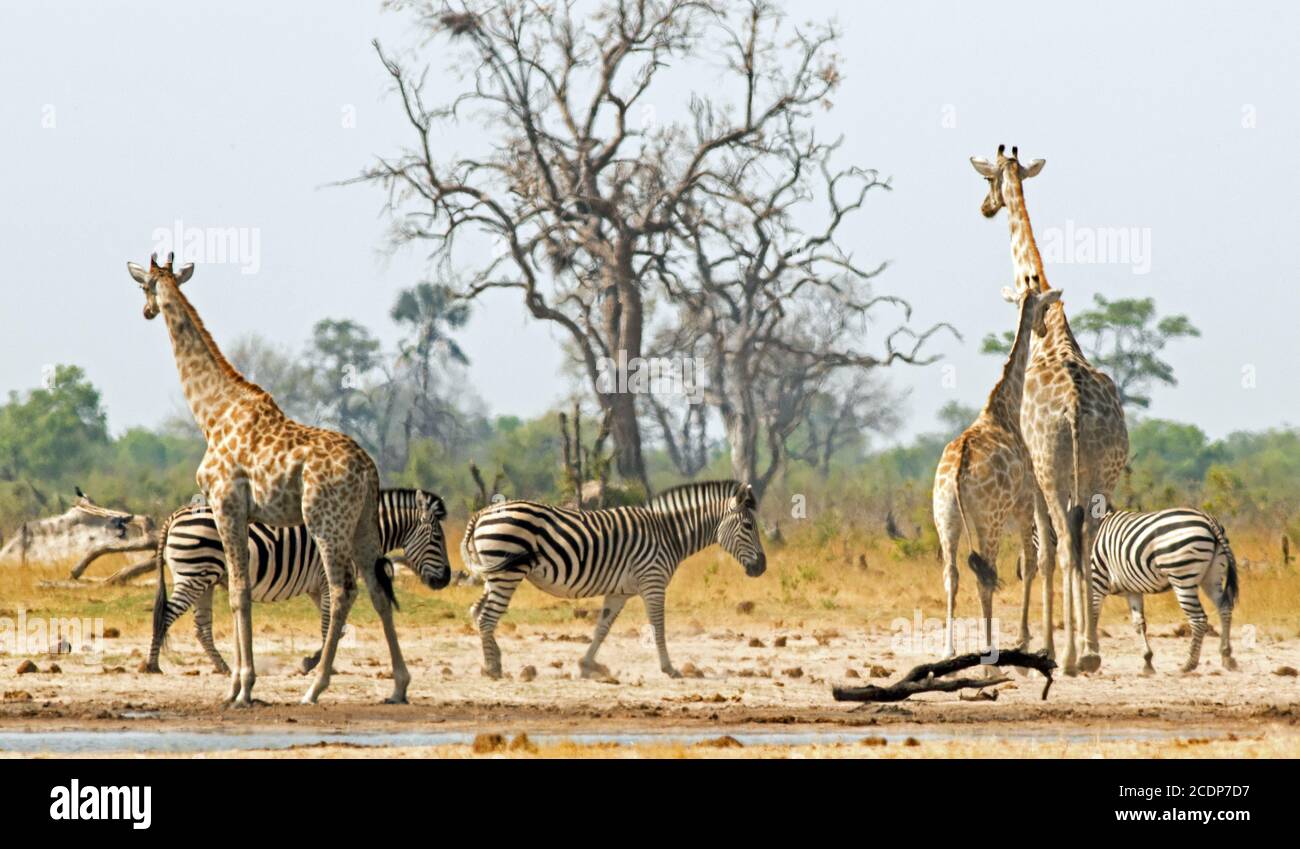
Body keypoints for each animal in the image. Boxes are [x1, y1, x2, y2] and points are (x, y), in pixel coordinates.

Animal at [126, 253, 408, 705]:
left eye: (144, 286)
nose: (147, 311)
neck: (212, 412)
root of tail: (368, 470)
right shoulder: (239, 511)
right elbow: (237, 591)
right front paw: (236, 684)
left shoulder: (226, 503)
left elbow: (240, 591)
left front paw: (242, 686)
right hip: (364, 523)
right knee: (379, 589)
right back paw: (399, 685)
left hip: (326, 522)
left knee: (343, 590)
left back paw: (314, 687)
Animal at [933, 285, 1061, 658]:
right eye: (1045, 308)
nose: (1042, 329)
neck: (1004, 408)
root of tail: (957, 471)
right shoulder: (1024, 504)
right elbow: (1029, 563)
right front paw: (1024, 638)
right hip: (989, 520)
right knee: (983, 577)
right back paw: (990, 651)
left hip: (946, 519)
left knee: (952, 574)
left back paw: (948, 650)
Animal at [970, 145, 1129, 675]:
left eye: (989, 180)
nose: (985, 207)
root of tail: (1076, 410)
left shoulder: (1033, 477)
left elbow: (1038, 555)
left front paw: (1033, 644)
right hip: (1102, 473)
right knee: (1087, 540)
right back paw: (1091, 649)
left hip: (1052, 471)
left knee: (1063, 546)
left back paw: (1073, 652)